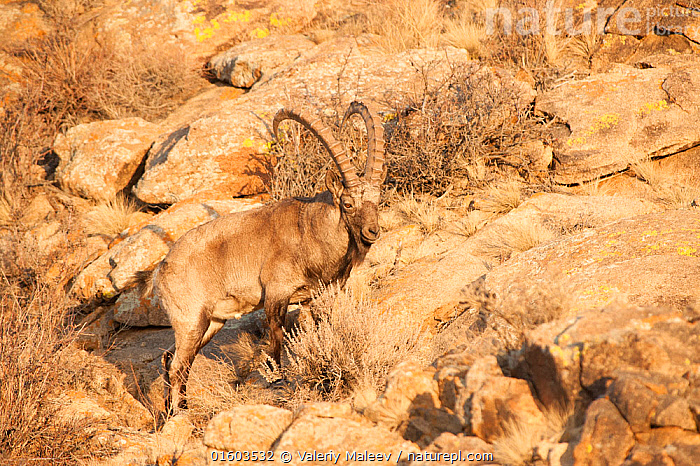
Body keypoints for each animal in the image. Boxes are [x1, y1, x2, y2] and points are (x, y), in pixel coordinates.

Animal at [149, 101, 386, 414]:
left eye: (378, 200)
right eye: (347, 203)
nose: (372, 231)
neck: (309, 232)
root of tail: (161, 269)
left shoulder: (316, 297)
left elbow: (320, 328)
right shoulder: (276, 292)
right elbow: (275, 338)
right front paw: (278, 379)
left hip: (211, 322)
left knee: (171, 358)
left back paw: (174, 411)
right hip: (191, 319)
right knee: (177, 364)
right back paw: (179, 412)